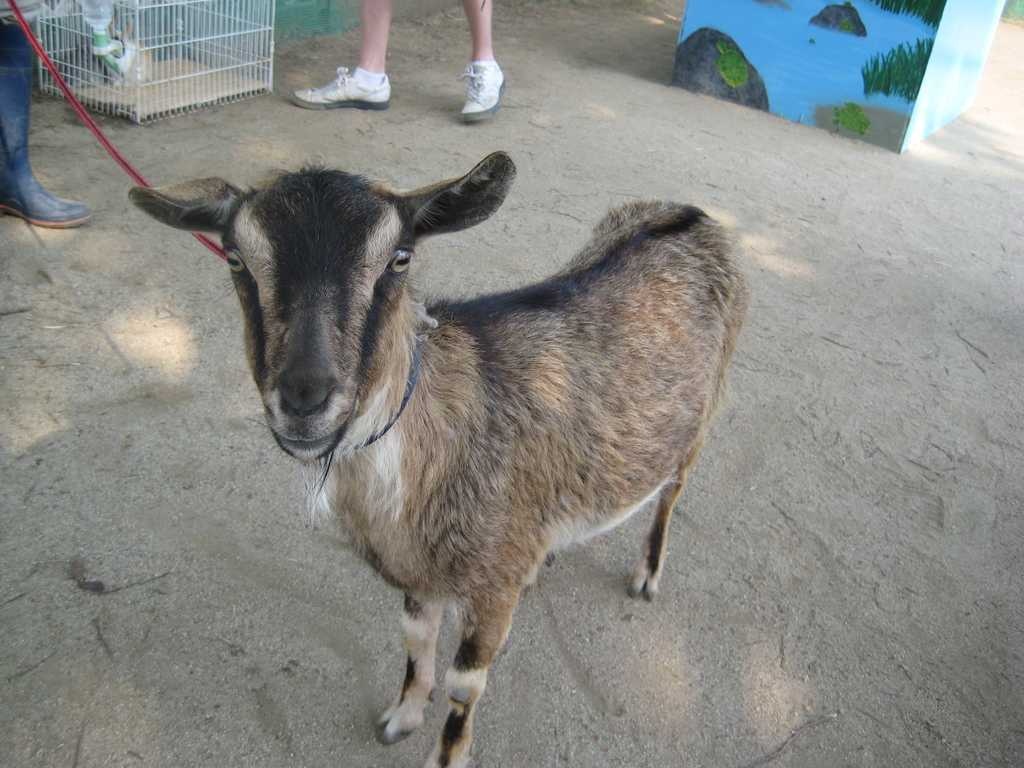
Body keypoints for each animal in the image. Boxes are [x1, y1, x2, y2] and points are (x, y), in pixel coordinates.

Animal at [129, 152, 748, 768]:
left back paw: (647, 574)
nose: (305, 398)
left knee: (671, 493)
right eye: (236, 258)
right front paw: (400, 716)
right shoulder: (419, 574)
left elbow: (464, 685)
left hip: (702, 418)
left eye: (400, 258)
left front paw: (446, 754)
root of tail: (688, 212)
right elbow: (414, 638)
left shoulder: (490, 586)